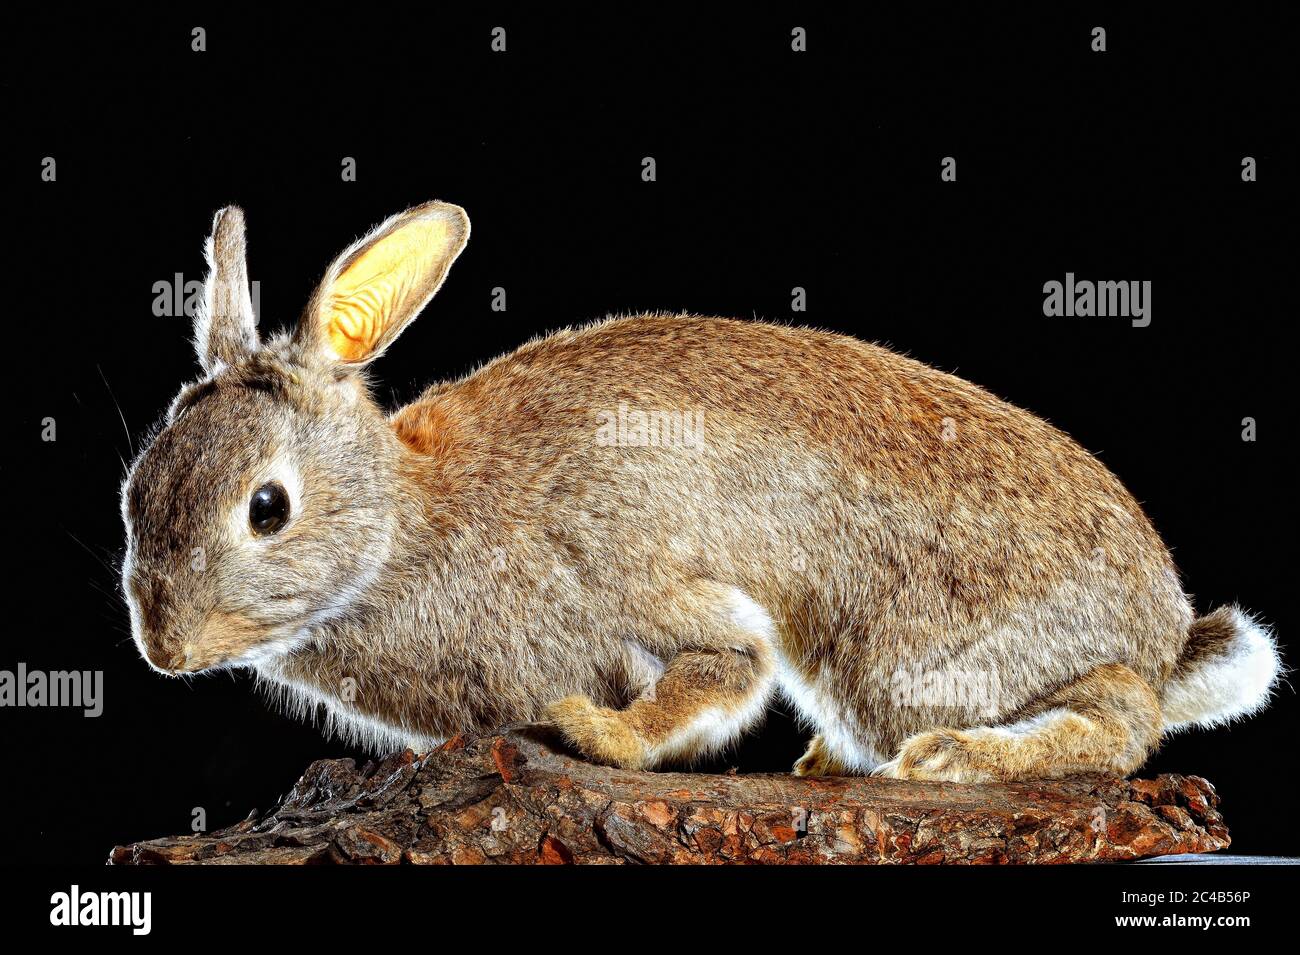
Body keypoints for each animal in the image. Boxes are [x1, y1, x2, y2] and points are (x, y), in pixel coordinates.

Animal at [120, 200, 1282, 782]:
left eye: (266, 507)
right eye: (136, 486)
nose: (162, 650)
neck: (401, 522)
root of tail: (1160, 626)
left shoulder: (641, 586)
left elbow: (719, 665)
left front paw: (599, 737)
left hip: (903, 659)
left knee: (1123, 717)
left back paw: (953, 759)